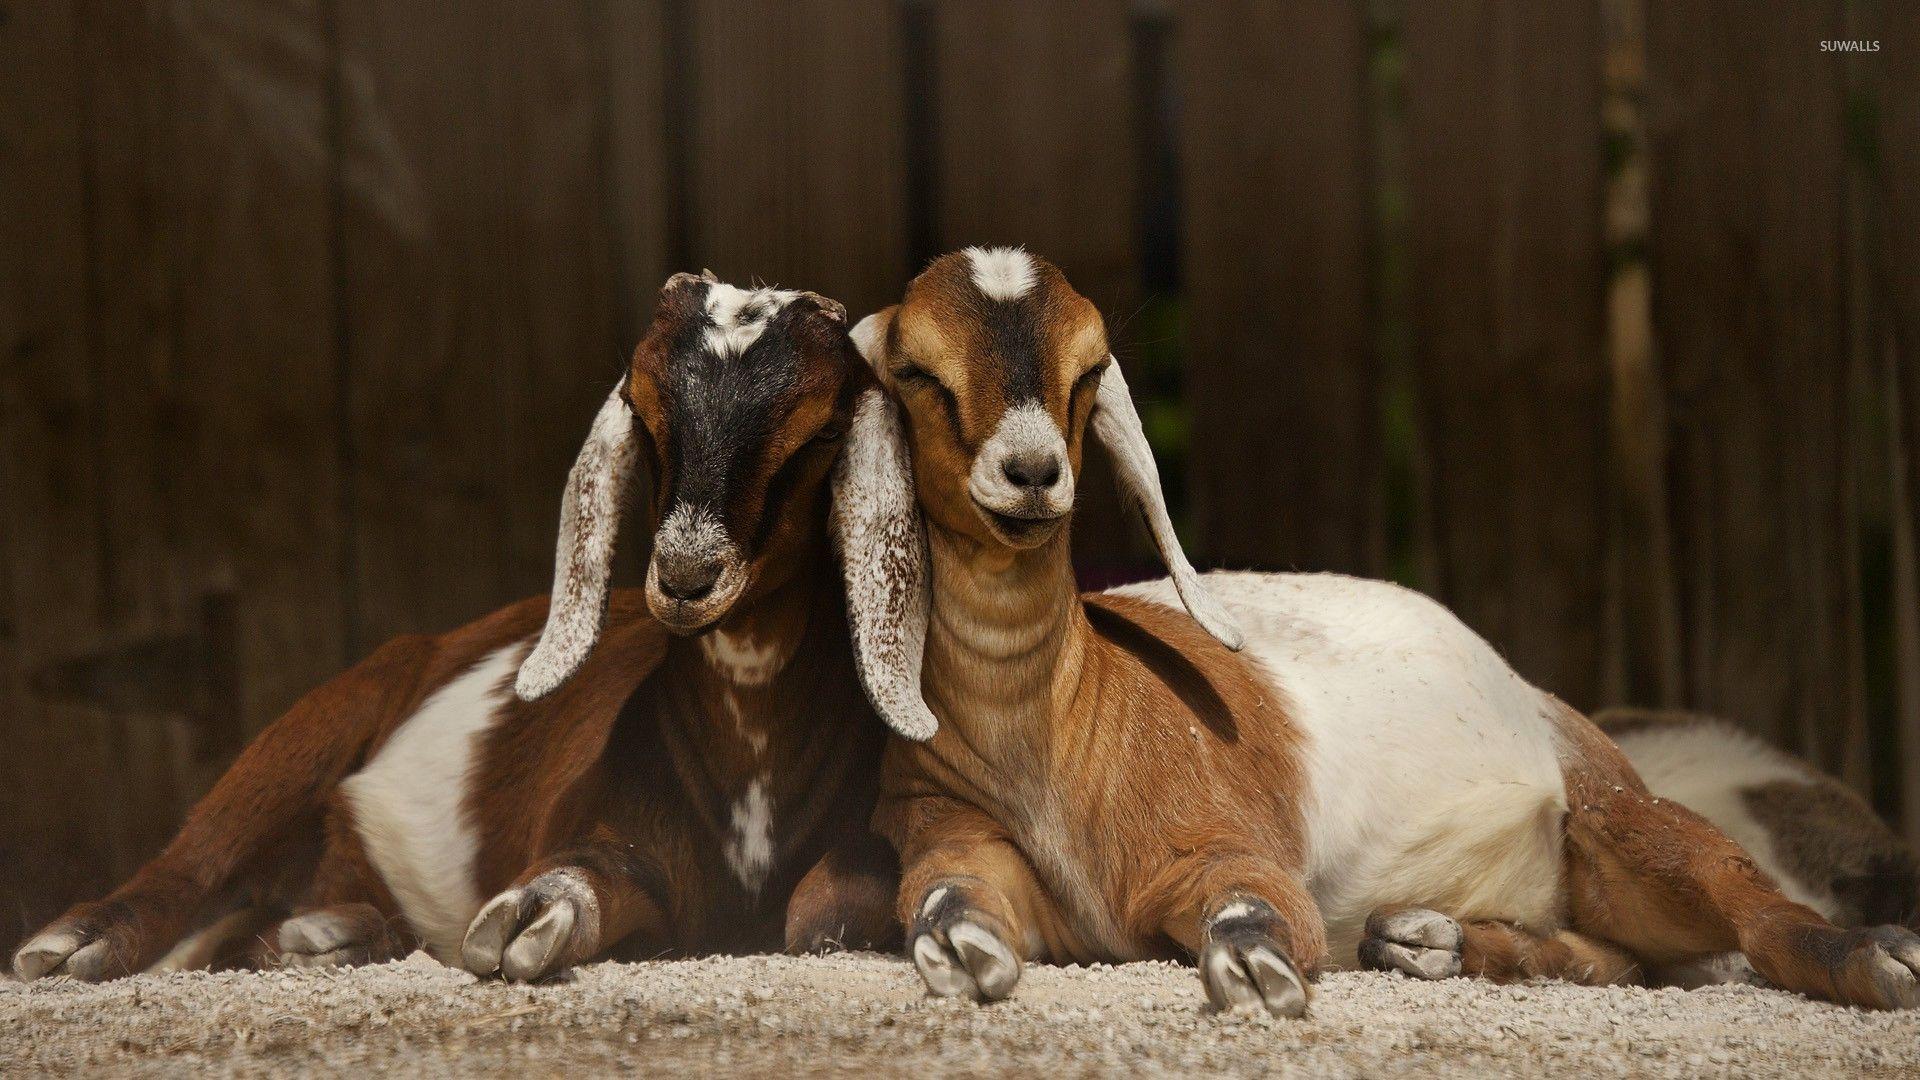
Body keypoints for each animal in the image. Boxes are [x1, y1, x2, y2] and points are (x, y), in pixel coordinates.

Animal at [13, 271, 898, 983]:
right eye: (642, 411)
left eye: (823, 432)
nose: (685, 578)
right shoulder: (602, 825)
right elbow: (593, 869)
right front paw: (536, 913)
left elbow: (832, 906)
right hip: (323, 719)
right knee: (202, 854)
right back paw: (77, 943)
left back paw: (325, 935)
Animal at [833, 246, 1920, 1015]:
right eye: (916, 370)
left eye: (1089, 365)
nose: (1031, 472)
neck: (1057, 726)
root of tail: (1531, 690)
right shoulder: (950, 838)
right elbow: (946, 902)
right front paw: (959, 955)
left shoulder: (1230, 845)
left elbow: (1253, 912)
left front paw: (1260, 972)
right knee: (1618, 958)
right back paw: (1431, 940)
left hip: (1620, 812)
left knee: (1743, 901)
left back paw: (1880, 961)